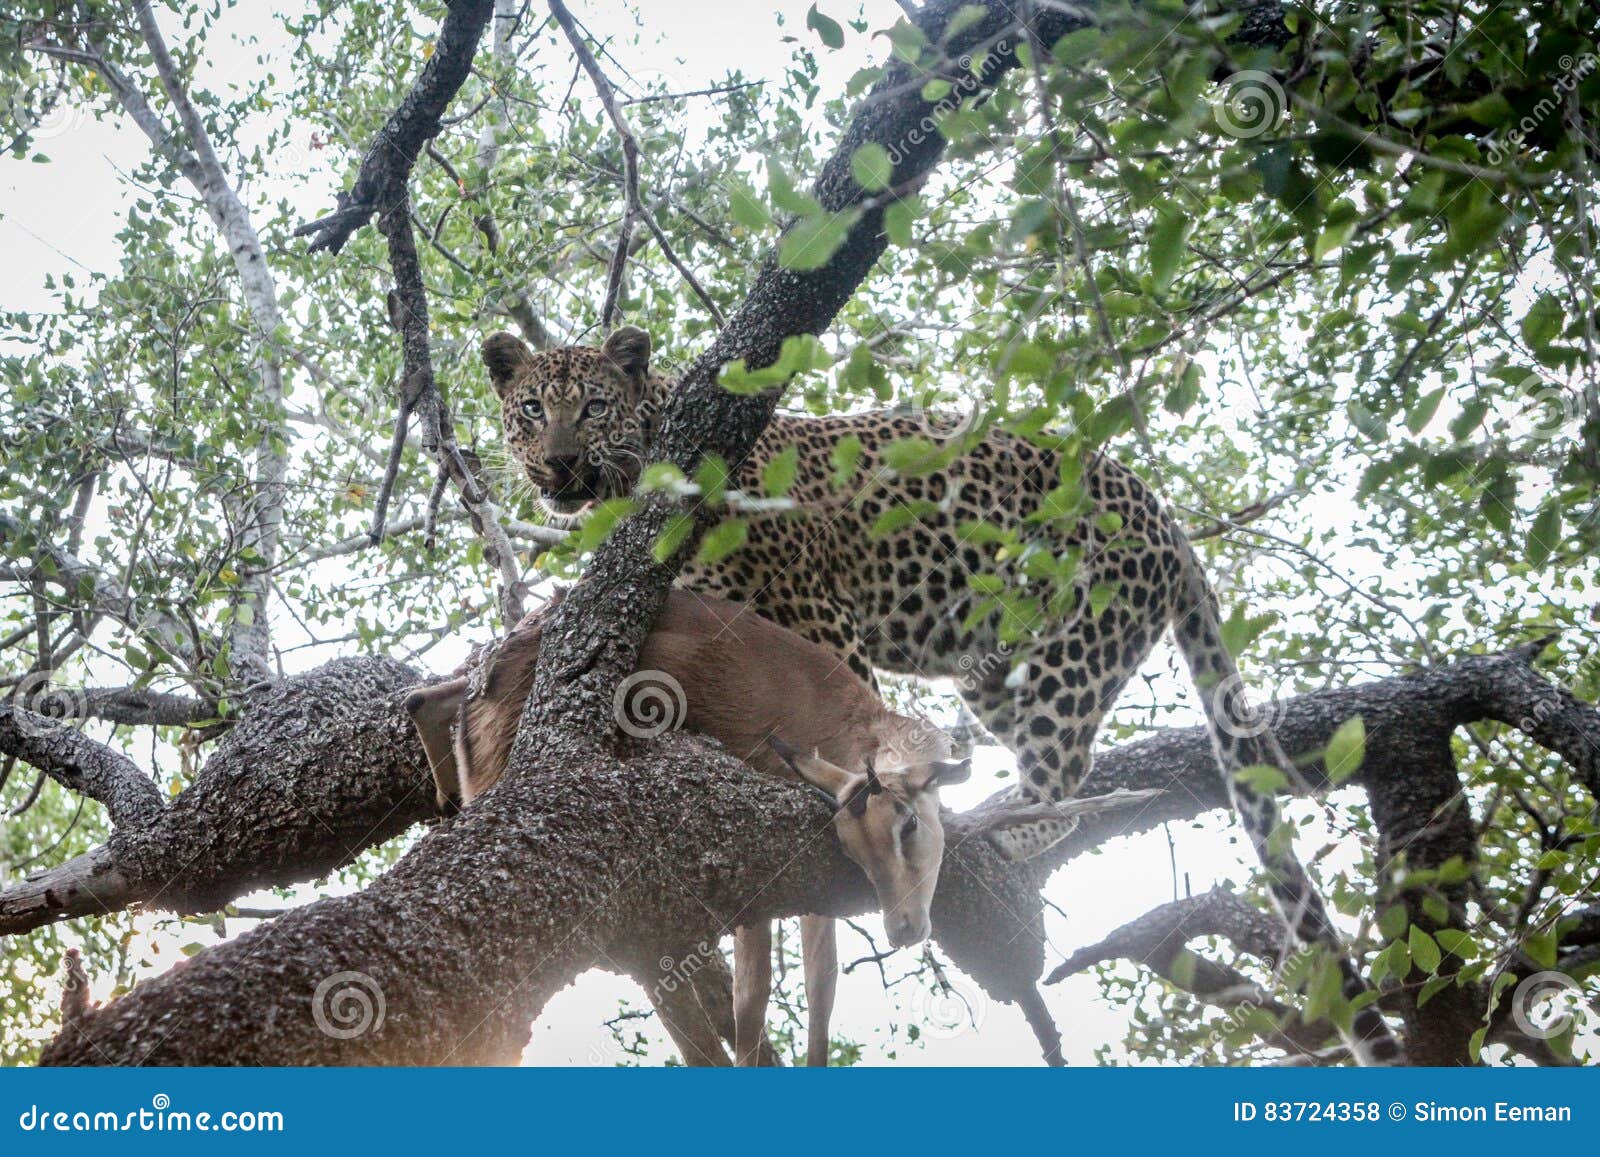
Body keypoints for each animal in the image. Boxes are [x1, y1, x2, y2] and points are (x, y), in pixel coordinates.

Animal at [404, 589, 971, 1066]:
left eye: (908, 825)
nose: (902, 928)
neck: (842, 720)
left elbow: (820, 982)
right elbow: (756, 991)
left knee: (422, 700)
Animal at [480, 325, 1403, 1065]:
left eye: (593, 406)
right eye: (530, 410)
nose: (555, 460)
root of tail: (1163, 512)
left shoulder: (819, 614)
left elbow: (851, 720)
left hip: (1070, 648)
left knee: (1065, 776)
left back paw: (998, 833)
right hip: (994, 666)